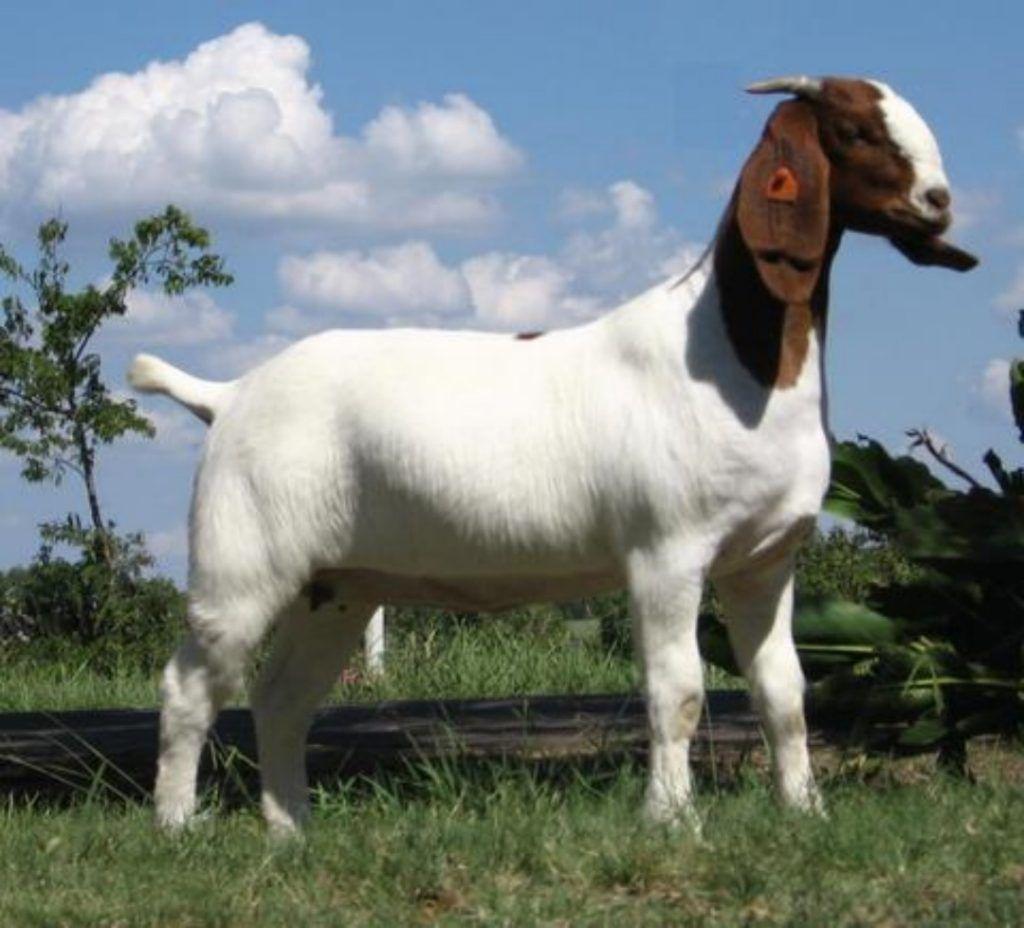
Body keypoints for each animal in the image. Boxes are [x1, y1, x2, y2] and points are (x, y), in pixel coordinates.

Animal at [130, 75, 977, 835]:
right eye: (856, 130)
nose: (939, 201)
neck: (734, 356)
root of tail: (229, 393)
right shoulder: (666, 553)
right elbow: (678, 691)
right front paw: (672, 820)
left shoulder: (763, 560)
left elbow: (784, 692)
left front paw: (804, 811)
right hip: (242, 563)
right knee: (190, 687)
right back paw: (178, 826)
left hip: (337, 585)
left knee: (282, 697)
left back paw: (292, 829)